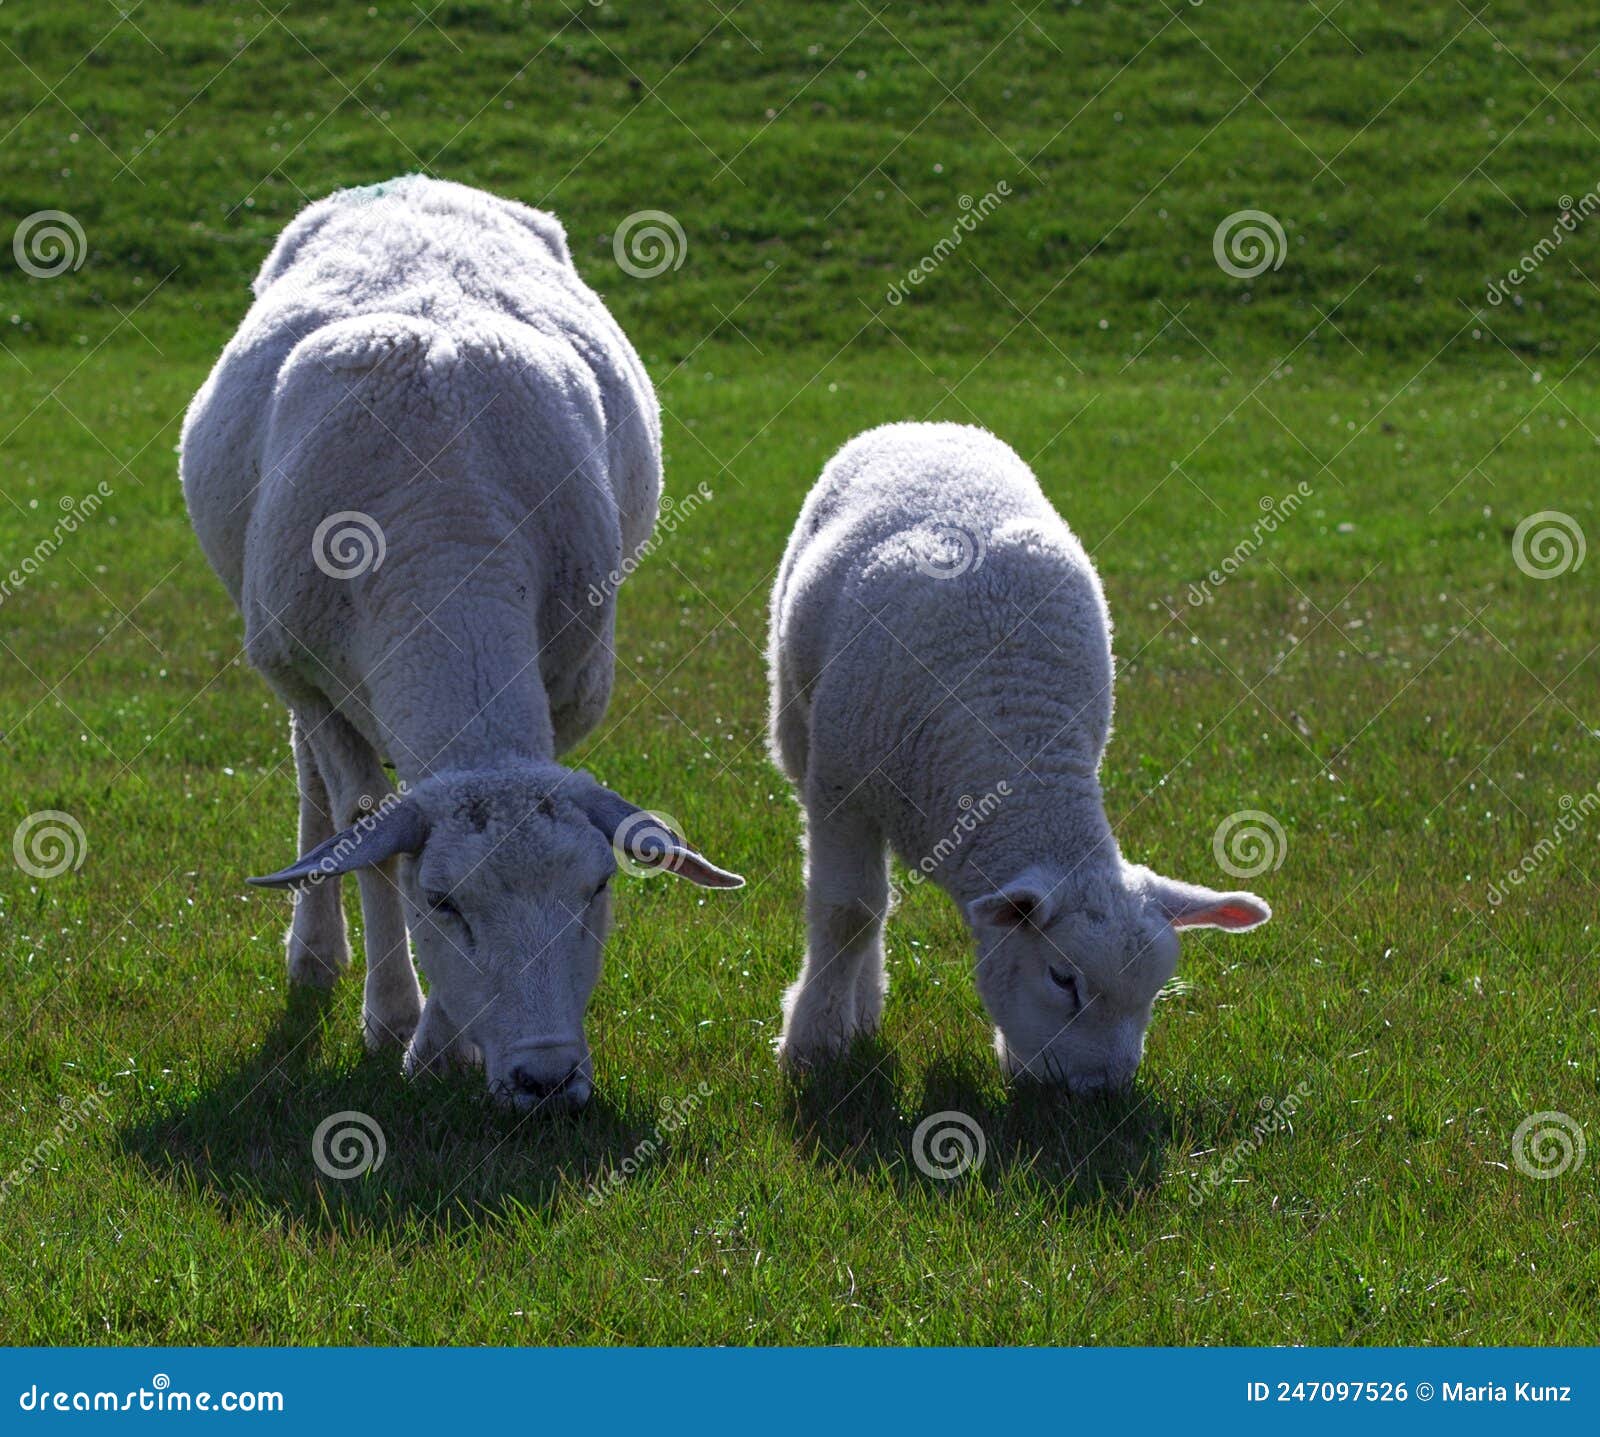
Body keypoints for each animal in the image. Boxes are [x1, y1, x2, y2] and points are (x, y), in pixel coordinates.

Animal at [181, 176, 741, 1113]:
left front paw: (446, 1042)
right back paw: (315, 952)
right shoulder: (308, 673)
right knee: (311, 782)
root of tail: (408, 182)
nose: (546, 1080)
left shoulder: (572, 681)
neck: (447, 537)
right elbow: (368, 830)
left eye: (597, 888)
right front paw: (401, 1023)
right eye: (444, 903)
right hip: (284, 658)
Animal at [767, 422, 1269, 1094]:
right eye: (1062, 979)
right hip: (798, 725)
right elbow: (849, 912)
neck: (1015, 735)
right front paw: (814, 1044)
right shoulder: (842, 789)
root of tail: (927, 425)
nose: (1101, 1093)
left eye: (1154, 993)